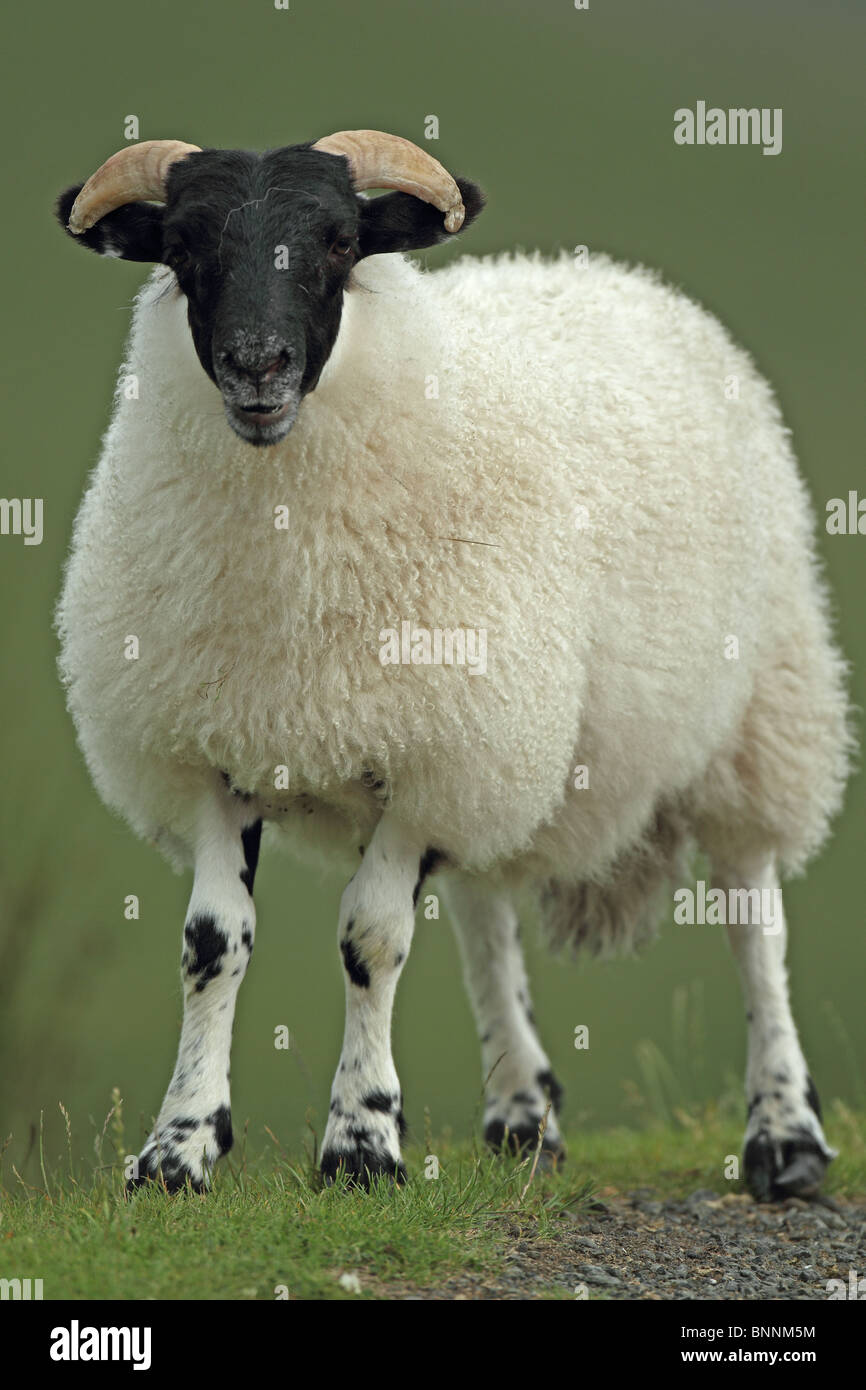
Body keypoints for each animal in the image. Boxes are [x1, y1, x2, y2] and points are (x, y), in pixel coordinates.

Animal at [54, 131, 853, 1199]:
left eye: (339, 241)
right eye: (181, 250)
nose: (257, 368)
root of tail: (606, 272)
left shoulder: (424, 755)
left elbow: (371, 939)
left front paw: (361, 1146)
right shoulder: (212, 754)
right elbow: (213, 946)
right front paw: (178, 1150)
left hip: (754, 707)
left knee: (752, 917)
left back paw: (784, 1137)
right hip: (503, 741)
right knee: (485, 909)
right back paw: (522, 1113)